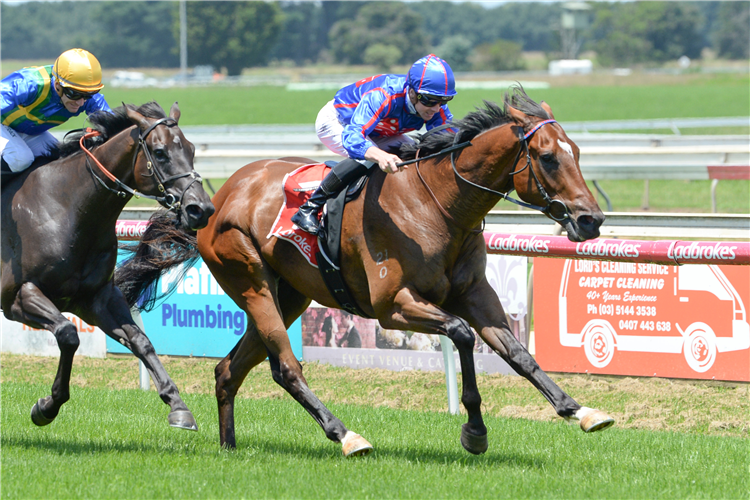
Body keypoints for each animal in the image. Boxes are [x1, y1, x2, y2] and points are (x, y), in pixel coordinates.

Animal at [0, 102, 215, 431]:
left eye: (191, 149)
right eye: (160, 152)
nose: (201, 209)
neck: (66, 208)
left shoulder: (96, 298)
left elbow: (141, 341)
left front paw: (178, 406)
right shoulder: (17, 296)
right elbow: (68, 334)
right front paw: (47, 407)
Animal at [116, 87, 613, 456]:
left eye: (577, 152)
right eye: (548, 158)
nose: (590, 219)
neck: (439, 204)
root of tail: (214, 200)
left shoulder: (476, 294)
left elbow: (518, 354)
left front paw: (580, 409)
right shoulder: (394, 306)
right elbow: (461, 334)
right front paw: (474, 431)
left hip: (290, 294)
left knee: (229, 369)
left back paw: (229, 446)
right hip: (250, 280)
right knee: (287, 367)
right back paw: (345, 435)